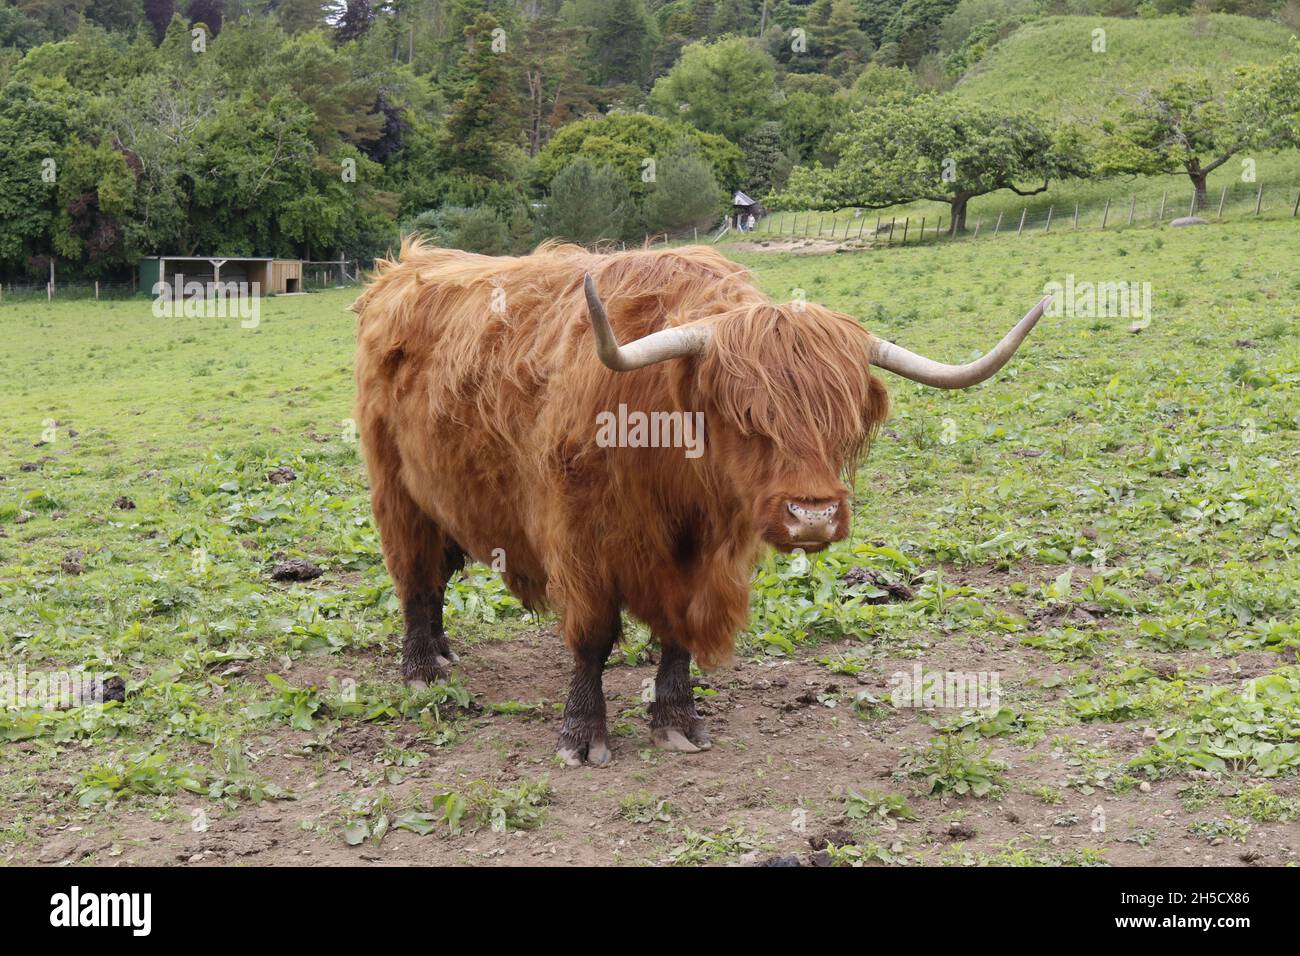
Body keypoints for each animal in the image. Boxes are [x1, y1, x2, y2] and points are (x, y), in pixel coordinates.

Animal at [352, 238, 1049, 765]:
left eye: (843, 419)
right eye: (745, 417)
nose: (814, 516)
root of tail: (405, 265)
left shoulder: (707, 558)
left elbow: (679, 636)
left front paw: (678, 718)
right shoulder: (580, 545)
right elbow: (592, 639)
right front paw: (582, 735)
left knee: (437, 578)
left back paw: (443, 651)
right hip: (396, 491)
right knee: (415, 579)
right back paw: (423, 670)